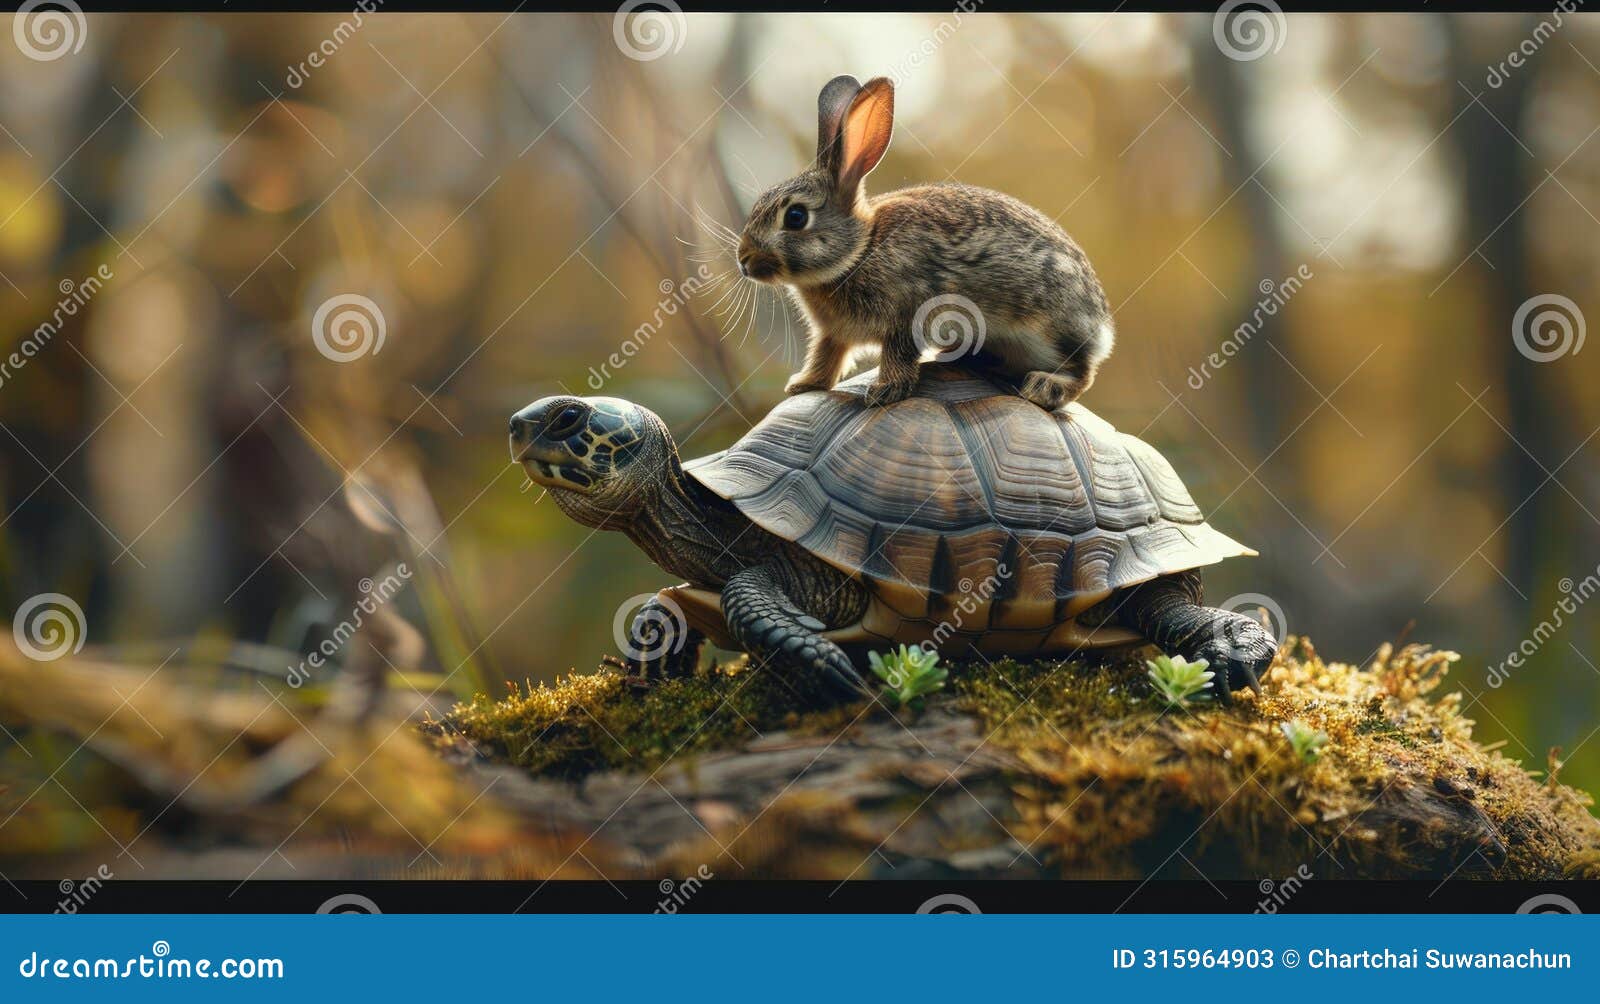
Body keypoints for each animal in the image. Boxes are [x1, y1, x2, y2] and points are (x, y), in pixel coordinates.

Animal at [736, 74, 1115, 410]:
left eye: (796, 217)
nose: (744, 260)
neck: (860, 251)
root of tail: (1102, 328)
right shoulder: (834, 334)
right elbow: (827, 357)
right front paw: (803, 385)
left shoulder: (908, 314)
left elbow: (897, 356)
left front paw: (885, 391)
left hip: (1048, 331)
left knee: (1083, 373)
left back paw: (1044, 388)